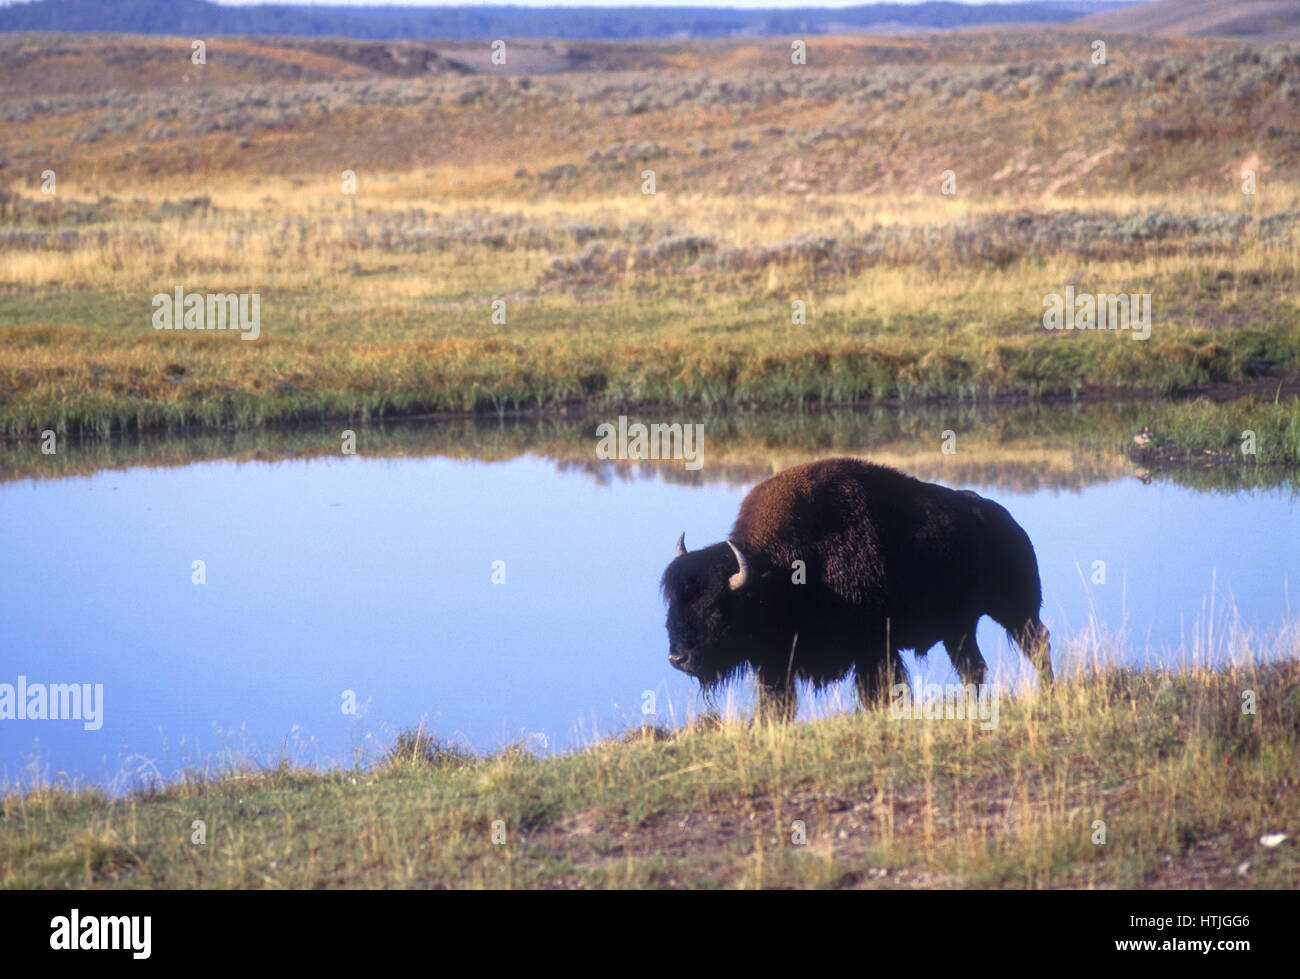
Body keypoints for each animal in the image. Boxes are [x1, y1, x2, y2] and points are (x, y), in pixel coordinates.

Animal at [661, 457, 1052, 720]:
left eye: (715, 610)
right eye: (673, 606)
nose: (678, 659)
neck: (775, 574)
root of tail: (1008, 522)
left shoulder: (875, 649)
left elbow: (881, 690)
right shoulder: (775, 662)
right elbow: (777, 703)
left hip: (1016, 611)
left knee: (1036, 643)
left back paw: (1047, 688)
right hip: (960, 630)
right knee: (974, 667)